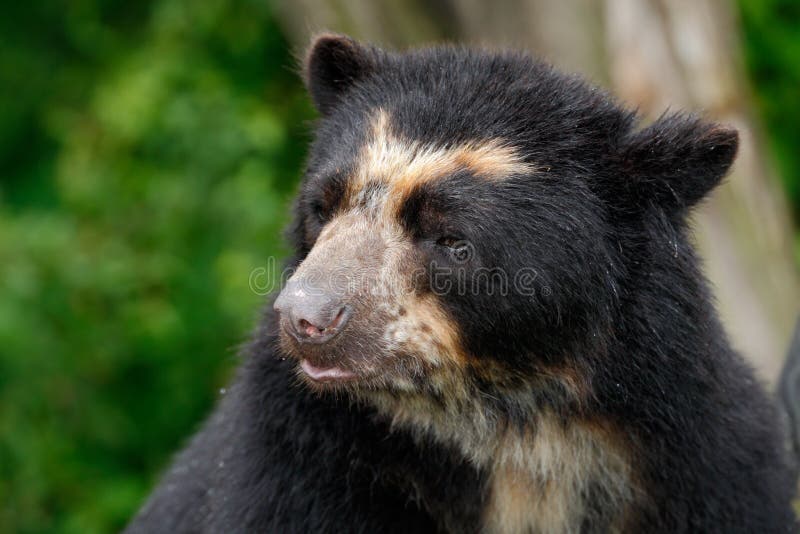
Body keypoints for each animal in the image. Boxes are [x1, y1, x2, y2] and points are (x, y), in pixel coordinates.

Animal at [124, 34, 798, 533]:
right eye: (322, 207)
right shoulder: (295, 464)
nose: (305, 319)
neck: (511, 427)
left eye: (452, 241)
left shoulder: (702, 464)